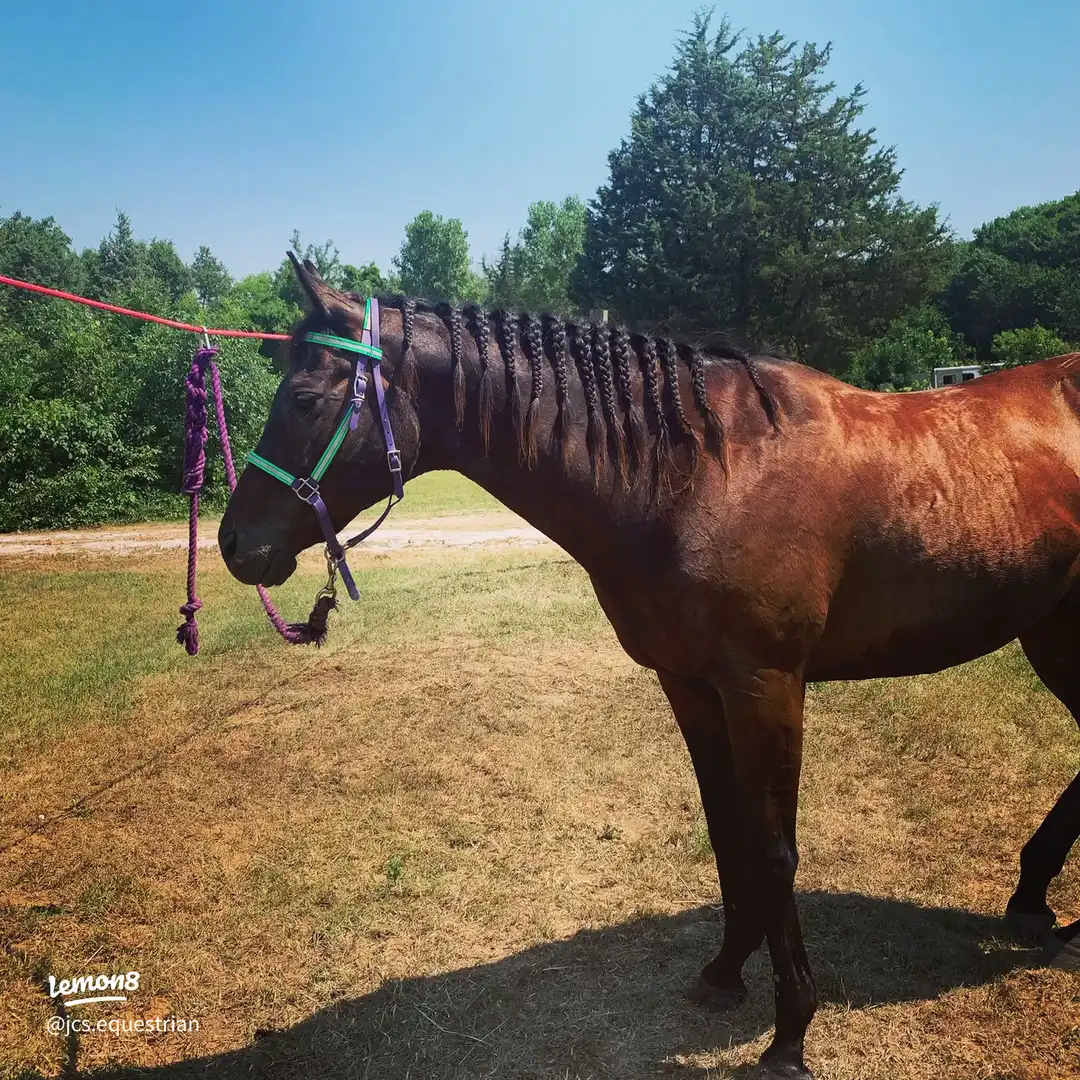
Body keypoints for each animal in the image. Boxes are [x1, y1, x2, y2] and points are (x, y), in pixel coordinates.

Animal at [218, 255, 1080, 1079]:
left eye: (303, 398)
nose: (235, 545)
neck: (702, 472)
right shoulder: (690, 684)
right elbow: (728, 832)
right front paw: (726, 973)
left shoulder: (765, 686)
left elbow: (774, 848)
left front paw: (790, 1037)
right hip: (1053, 634)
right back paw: (1033, 901)